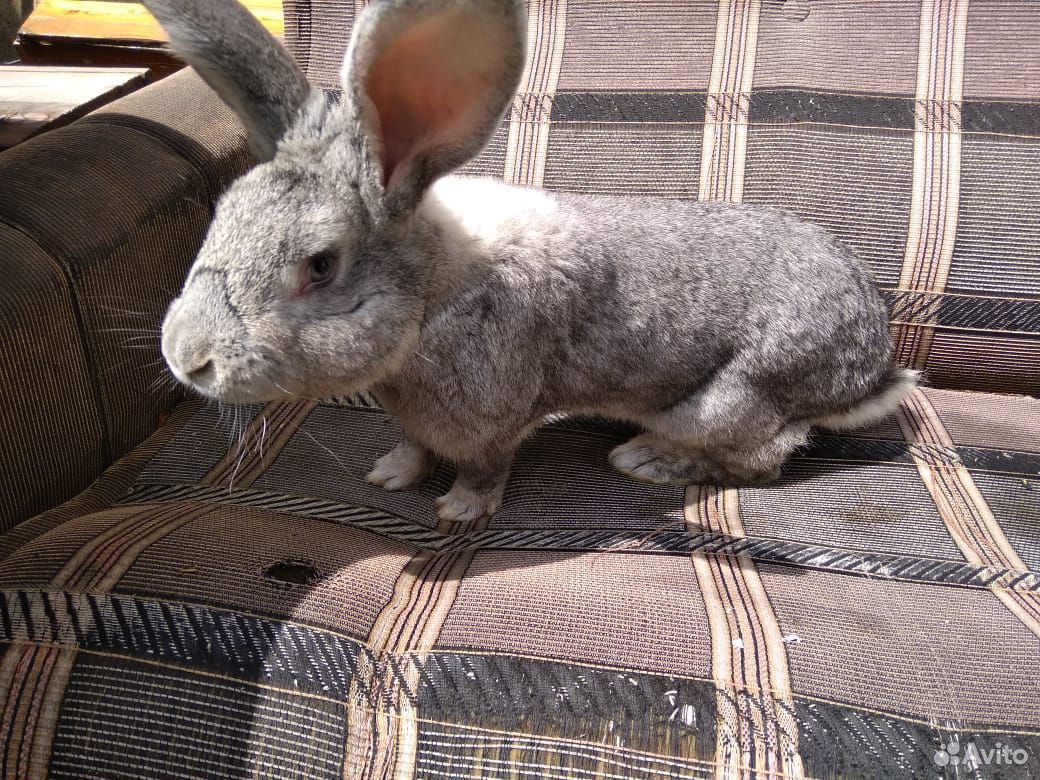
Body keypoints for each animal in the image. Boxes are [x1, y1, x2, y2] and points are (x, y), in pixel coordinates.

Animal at [151, 0, 918, 523]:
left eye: (319, 264)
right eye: (221, 216)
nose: (187, 359)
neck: (435, 292)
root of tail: (869, 366)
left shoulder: (489, 420)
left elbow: (484, 469)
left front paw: (459, 510)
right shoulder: (418, 416)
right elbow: (412, 446)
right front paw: (389, 475)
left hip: (731, 400)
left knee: (760, 462)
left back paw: (644, 458)